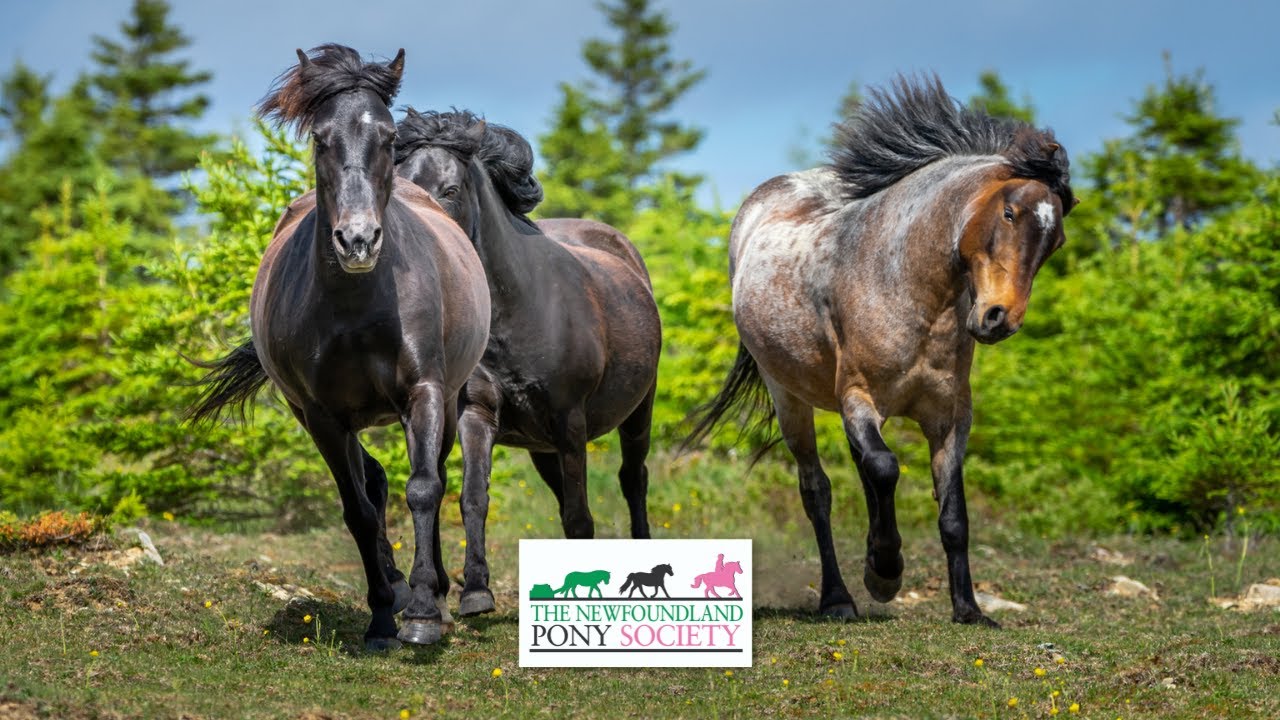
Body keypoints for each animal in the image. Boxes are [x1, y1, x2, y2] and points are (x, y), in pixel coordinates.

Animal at [186, 45, 491, 649]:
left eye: (389, 137)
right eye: (321, 139)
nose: (357, 241)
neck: (358, 306)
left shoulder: (424, 393)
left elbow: (424, 488)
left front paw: (425, 612)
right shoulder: (324, 416)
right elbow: (359, 512)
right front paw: (381, 618)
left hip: (446, 402)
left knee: (436, 476)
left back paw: (440, 593)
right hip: (324, 417)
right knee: (370, 482)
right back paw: (394, 586)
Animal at [393, 109, 662, 617]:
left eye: (450, 189)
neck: (519, 308)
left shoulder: (570, 421)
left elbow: (579, 517)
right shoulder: (477, 414)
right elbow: (474, 498)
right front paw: (476, 591)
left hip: (638, 412)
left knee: (633, 479)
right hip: (535, 444)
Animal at [686, 75, 1076, 626]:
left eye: (1055, 241)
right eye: (1008, 212)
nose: (1001, 319)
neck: (909, 288)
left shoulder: (949, 416)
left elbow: (952, 512)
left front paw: (968, 608)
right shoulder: (858, 399)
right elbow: (886, 469)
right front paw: (885, 573)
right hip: (789, 398)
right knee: (818, 491)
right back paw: (839, 598)